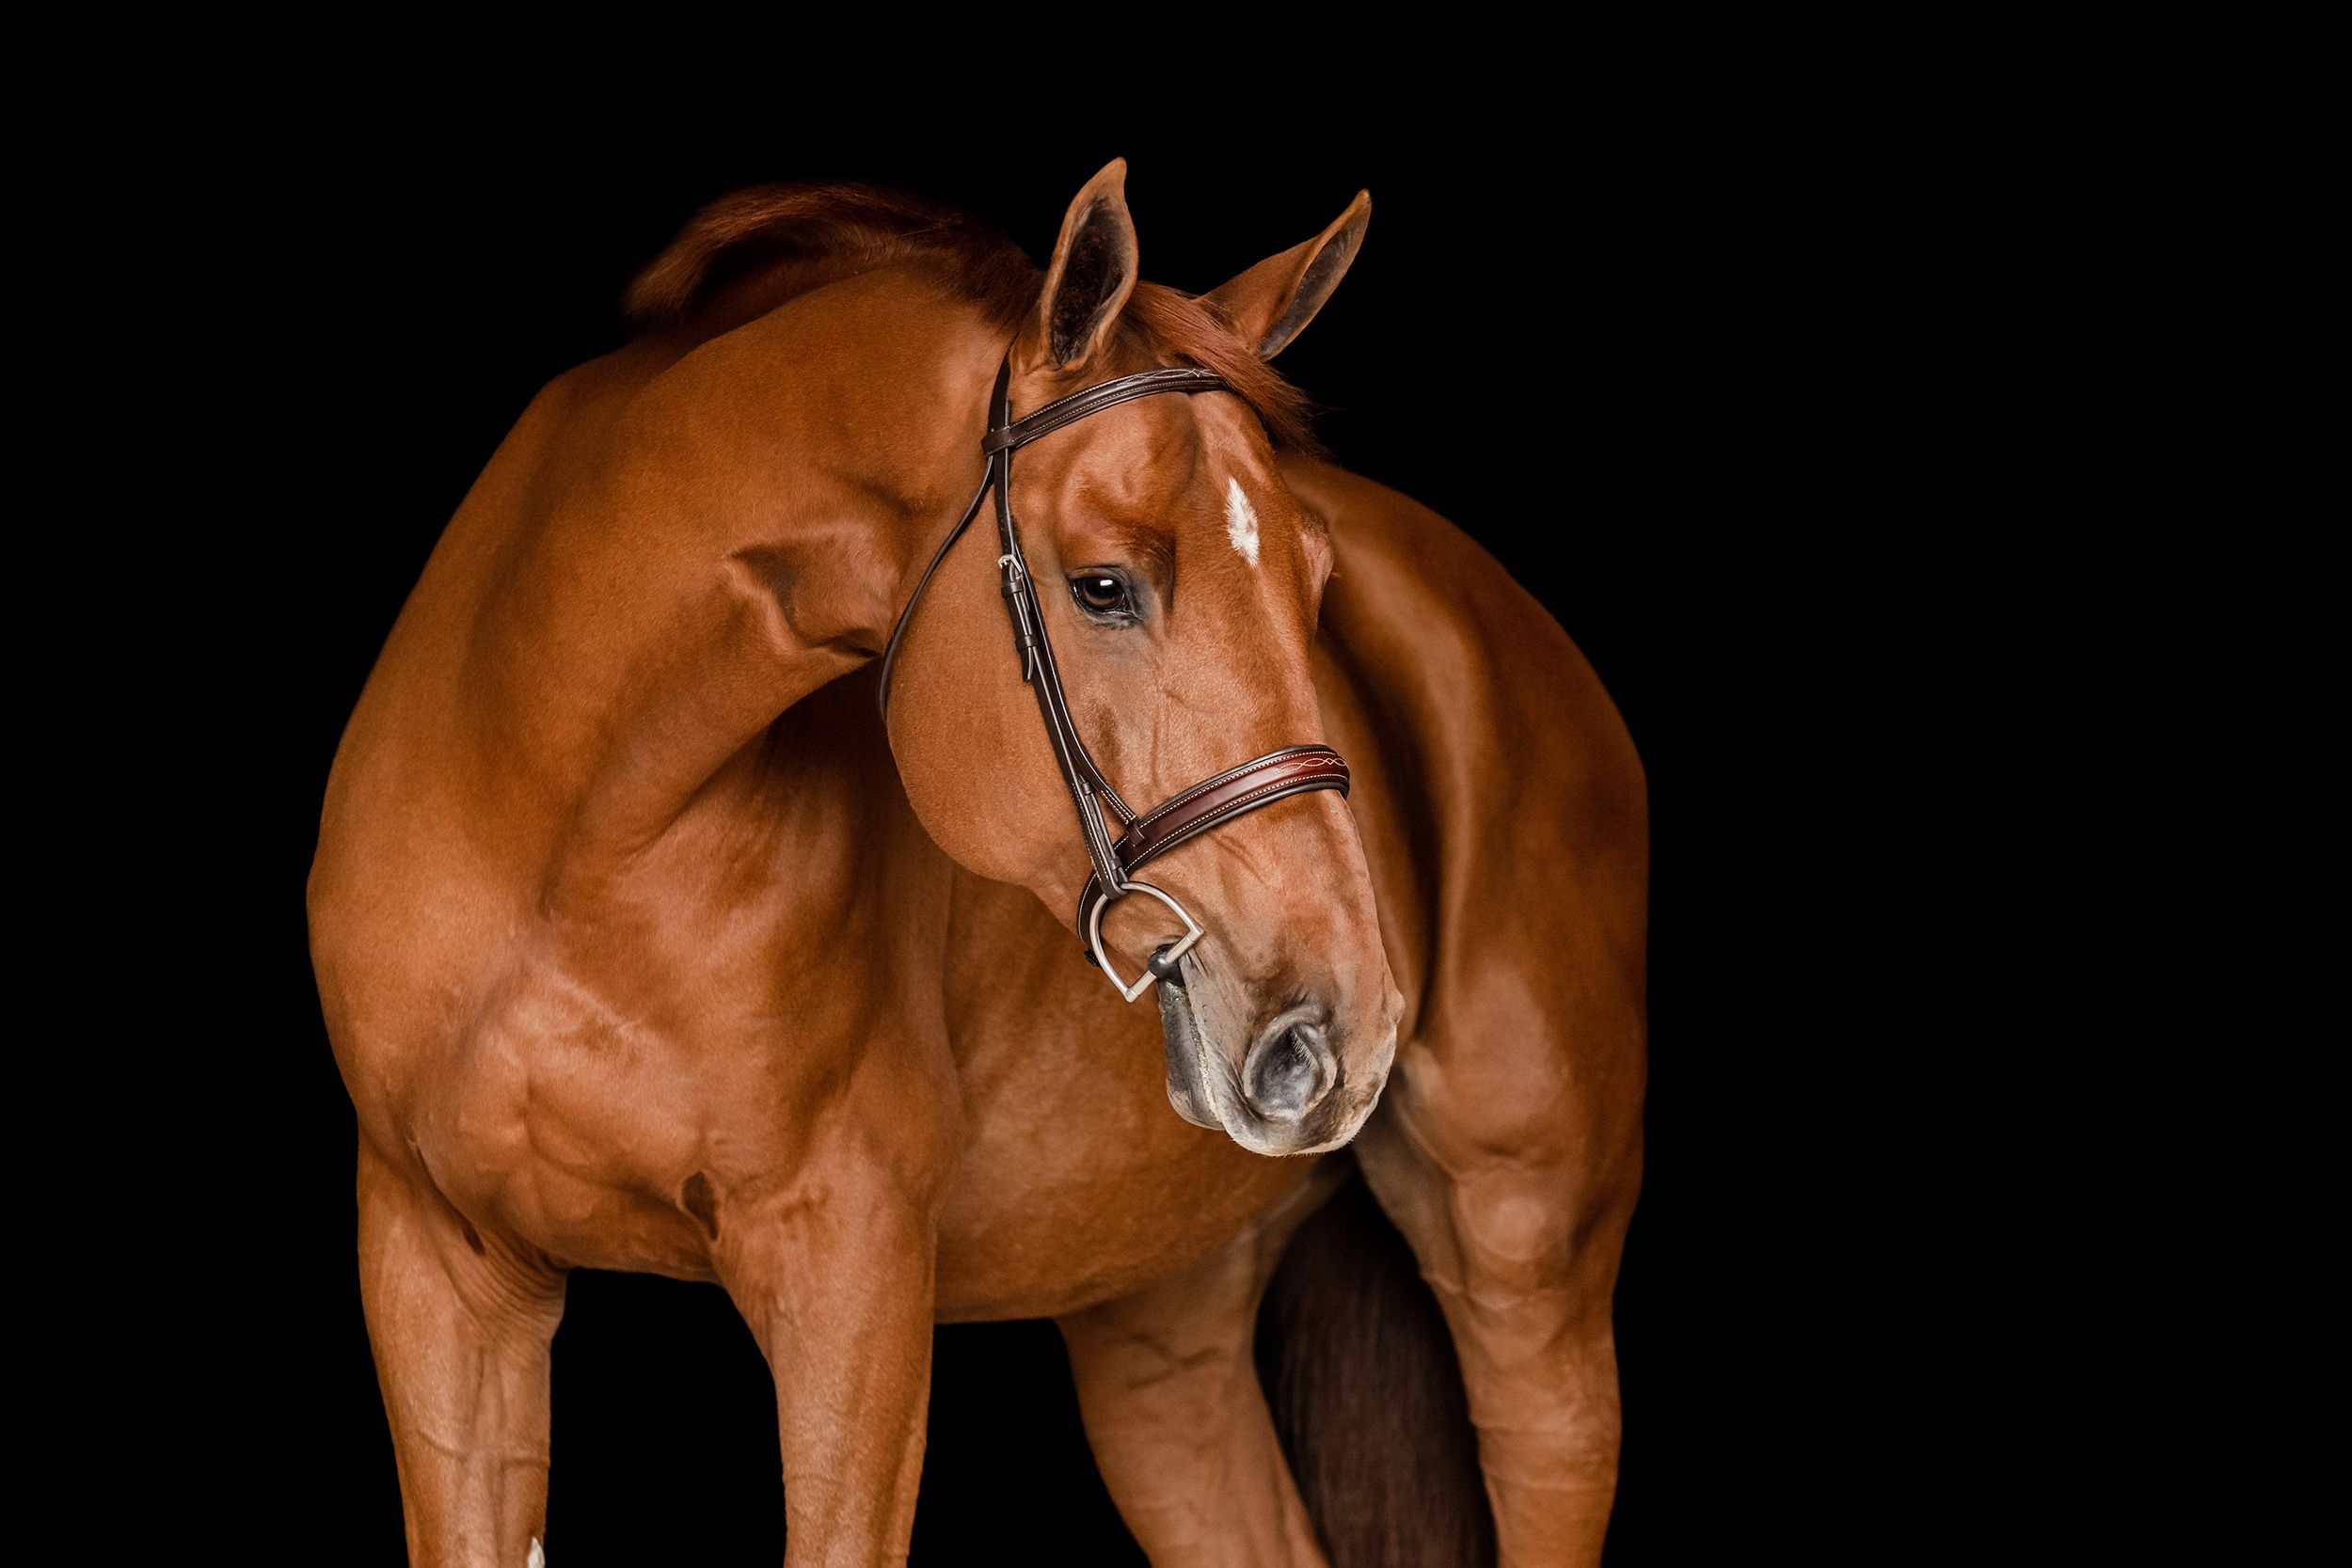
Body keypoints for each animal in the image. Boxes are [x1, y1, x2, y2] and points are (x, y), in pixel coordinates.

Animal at [307, 161, 1647, 1568]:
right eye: (1104, 584)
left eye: (1316, 575)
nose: (1344, 1025)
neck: (562, 831)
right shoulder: (438, 1270)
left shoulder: (853, 1278)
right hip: (1158, 1314)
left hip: (1530, 1271)